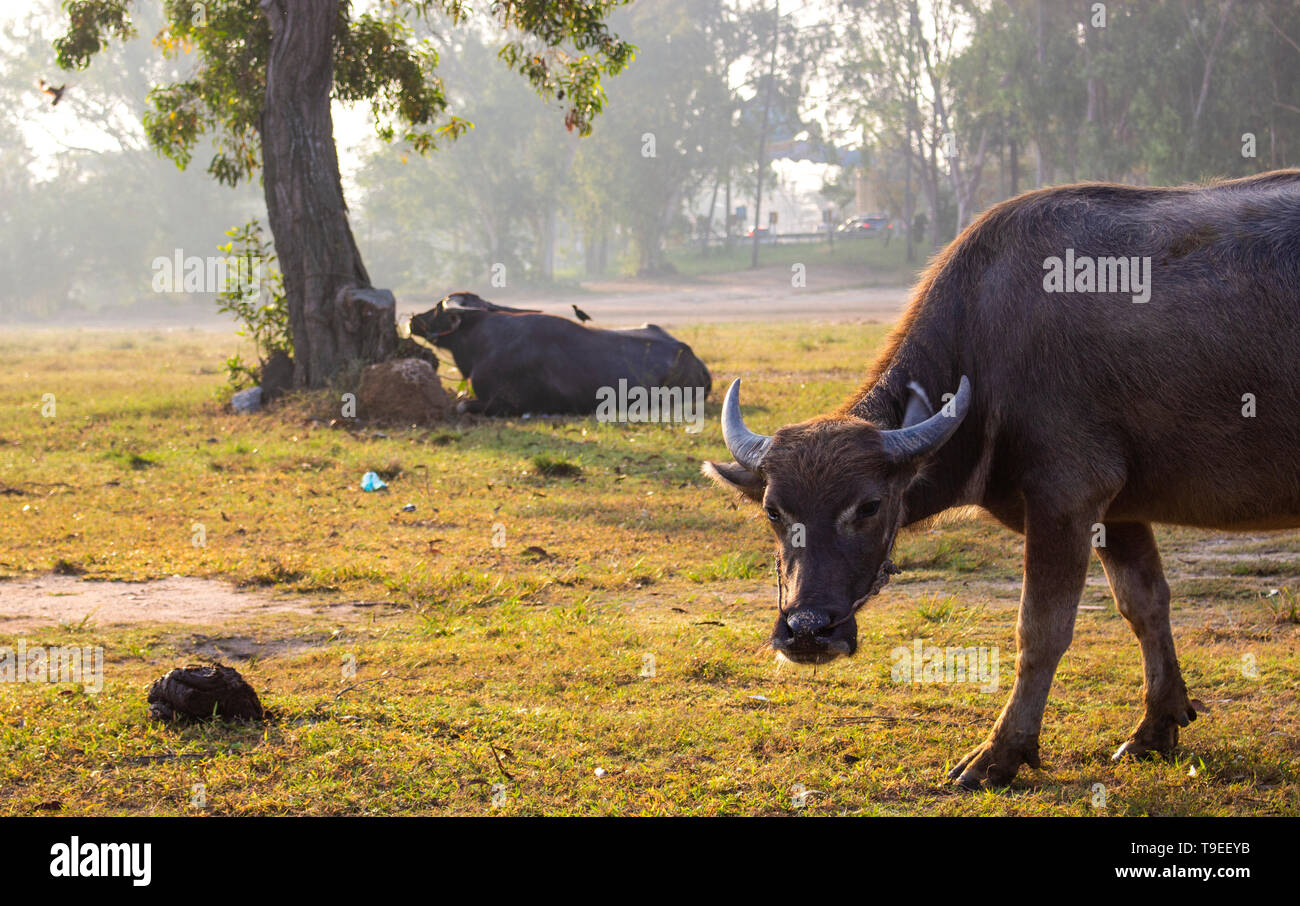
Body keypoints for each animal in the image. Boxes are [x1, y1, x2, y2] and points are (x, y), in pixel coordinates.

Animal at [402, 292, 711, 417]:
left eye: (439, 307)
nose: (413, 319)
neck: (481, 341)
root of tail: (695, 361)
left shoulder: (506, 403)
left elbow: (462, 405)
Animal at [705, 170, 1300, 789]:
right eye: (774, 511)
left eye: (868, 506)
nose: (805, 631)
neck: (986, 343)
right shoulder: (1118, 511)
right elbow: (1145, 605)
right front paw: (1156, 728)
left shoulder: (1067, 497)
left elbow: (1041, 629)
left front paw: (1001, 752)